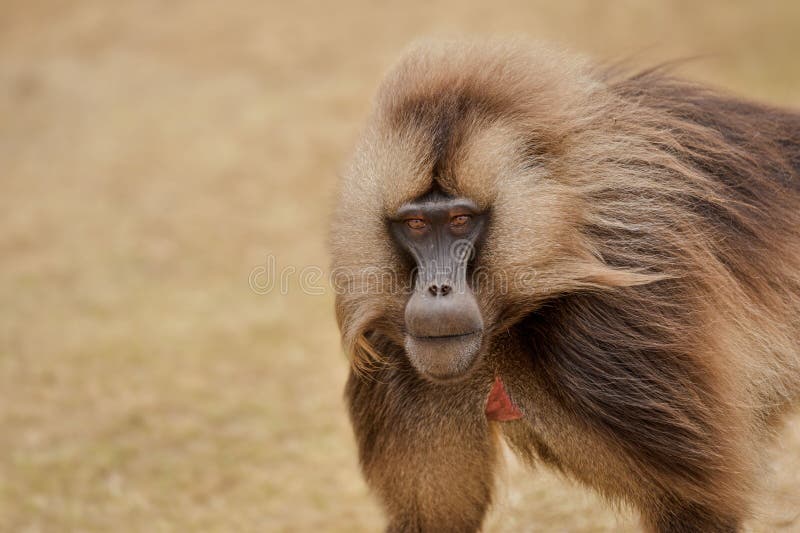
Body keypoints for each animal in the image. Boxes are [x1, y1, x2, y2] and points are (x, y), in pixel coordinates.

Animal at [329, 39, 800, 532]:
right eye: (417, 225)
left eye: (460, 220)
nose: (437, 290)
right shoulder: (397, 353)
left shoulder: (618, 335)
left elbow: (700, 508)